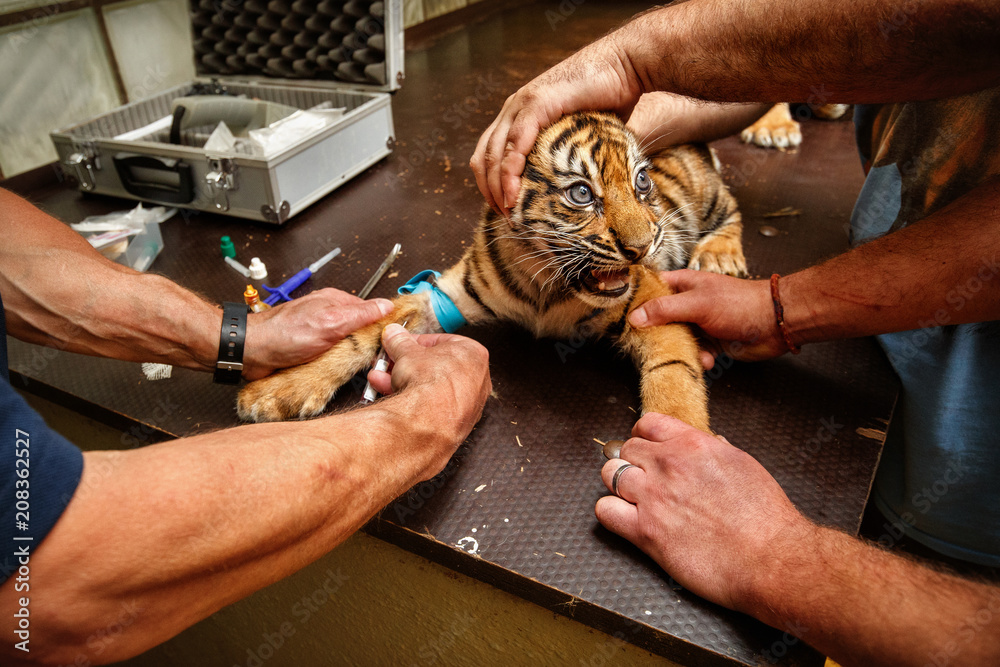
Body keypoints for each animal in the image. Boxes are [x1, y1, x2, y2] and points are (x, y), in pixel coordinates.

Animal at [236, 111, 747, 432]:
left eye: (641, 182)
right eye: (582, 194)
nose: (642, 249)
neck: (547, 283)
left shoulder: (652, 305)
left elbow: (673, 379)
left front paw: (681, 457)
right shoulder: (445, 293)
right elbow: (363, 332)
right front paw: (278, 389)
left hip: (708, 198)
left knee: (732, 209)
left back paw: (720, 255)